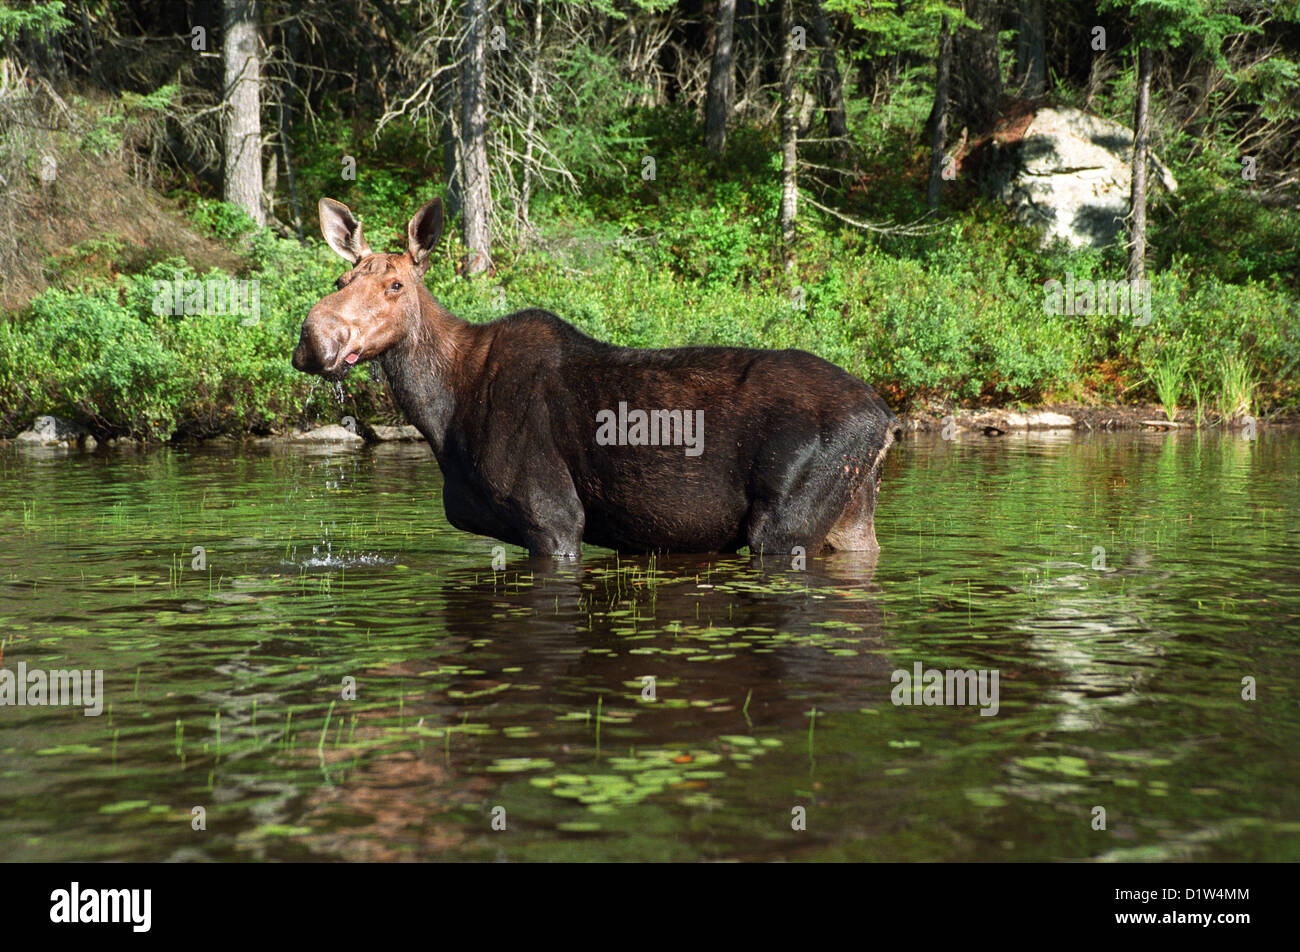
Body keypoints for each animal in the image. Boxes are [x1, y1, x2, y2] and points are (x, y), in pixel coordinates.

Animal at [292, 194, 899, 558]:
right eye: (341, 278)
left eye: (395, 285)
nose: (313, 339)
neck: (441, 413)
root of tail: (887, 418)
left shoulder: (554, 517)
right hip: (852, 518)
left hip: (784, 523)